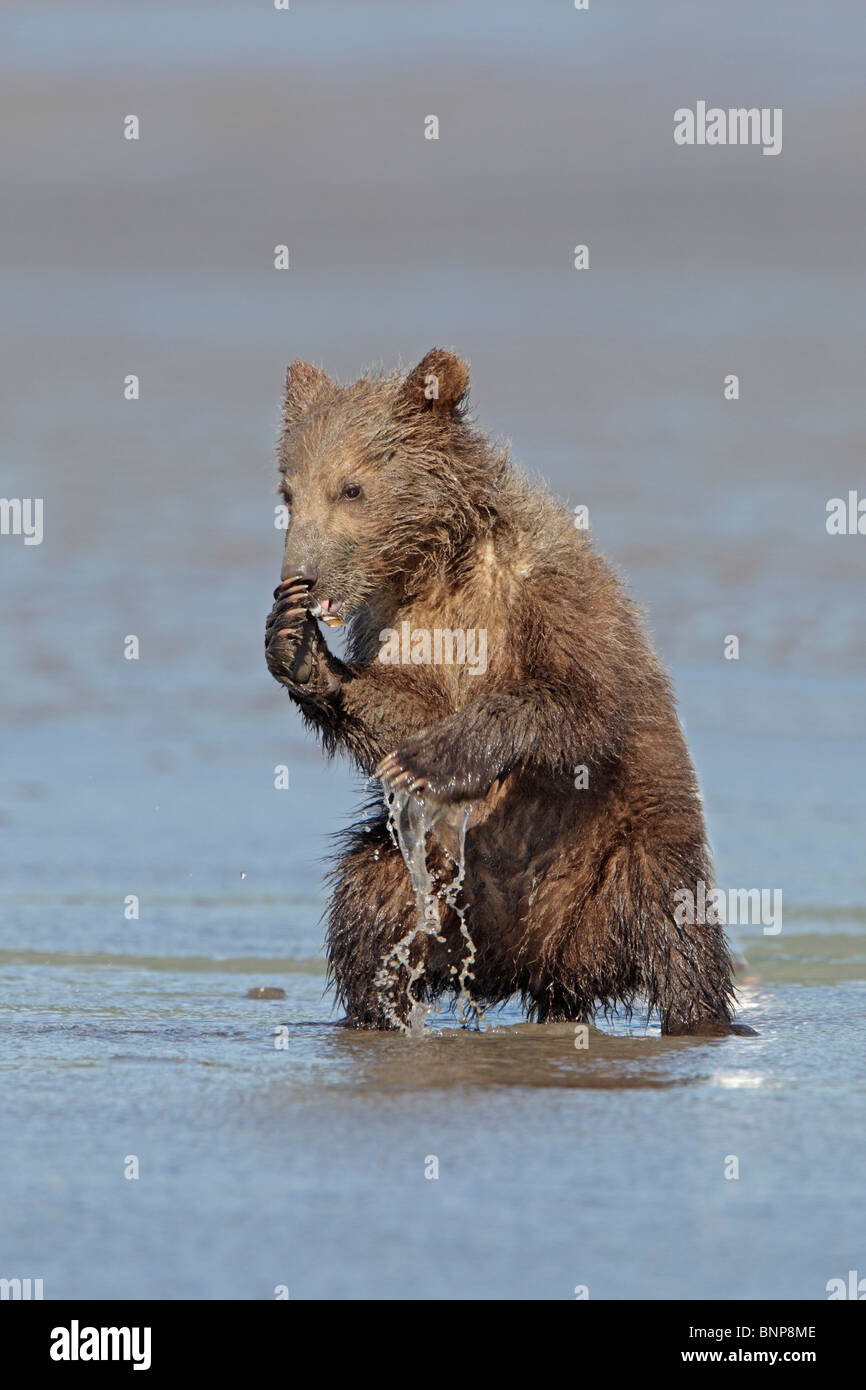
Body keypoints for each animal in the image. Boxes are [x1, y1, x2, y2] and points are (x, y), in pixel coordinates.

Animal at [265, 348, 749, 1036]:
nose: (298, 580)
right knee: (367, 909)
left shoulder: (548, 594)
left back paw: (703, 1016)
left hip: (638, 856)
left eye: (351, 488)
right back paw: (375, 1010)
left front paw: (430, 756)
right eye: (289, 491)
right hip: (431, 882)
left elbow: (577, 706)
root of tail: (538, 959)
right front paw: (298, 648)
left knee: (681, 946)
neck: (440, 564)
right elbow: (401, 707)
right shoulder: (395, 624)